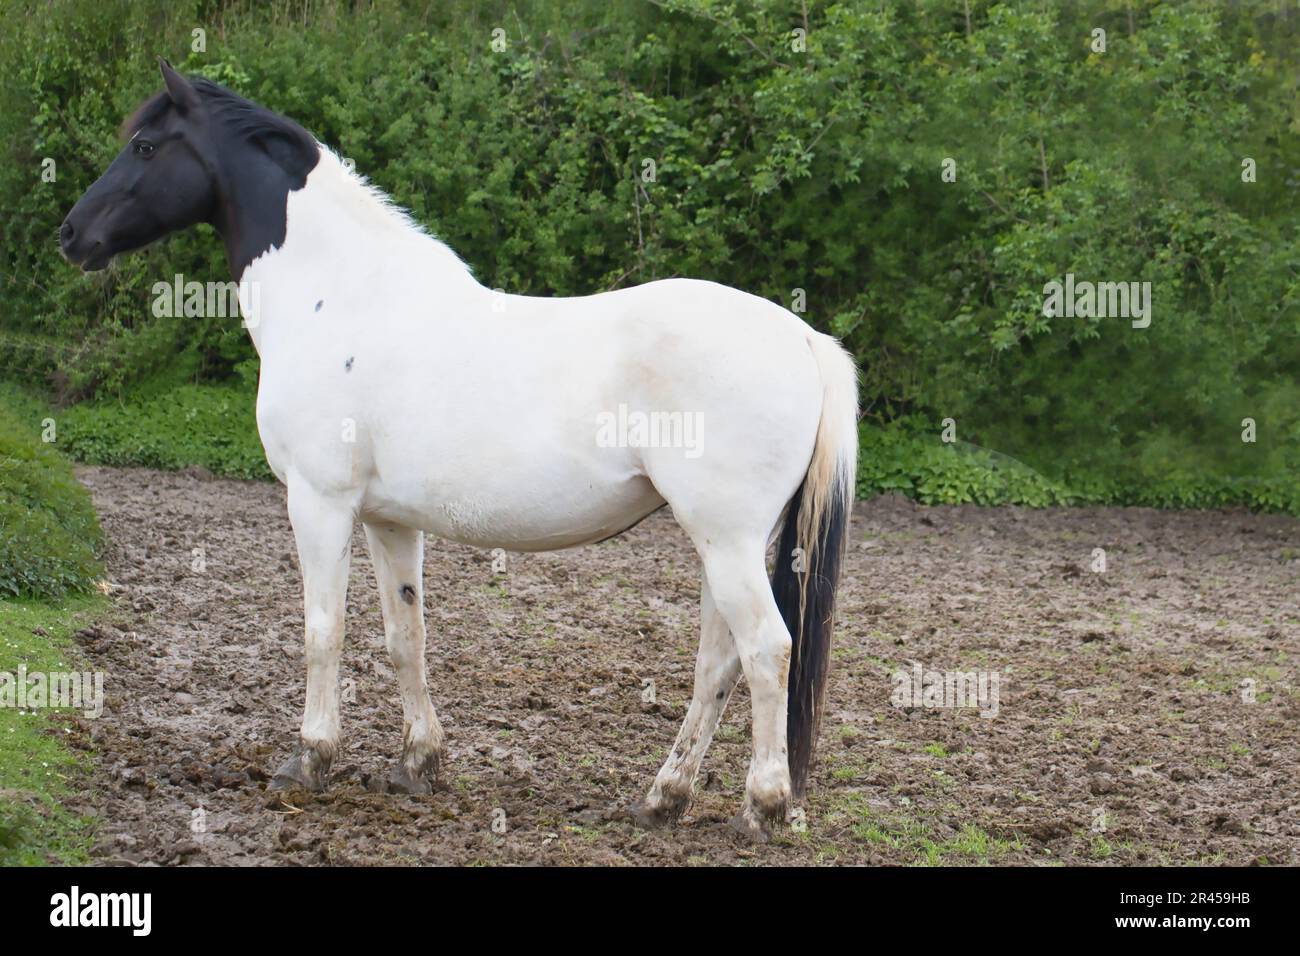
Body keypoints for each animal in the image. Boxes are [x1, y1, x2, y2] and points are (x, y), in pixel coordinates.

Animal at [61, 60, 859, 840]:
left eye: (144, 147)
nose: (72, 234)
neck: (337, 298)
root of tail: (802, 338)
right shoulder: (387, 519)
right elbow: (403, 635)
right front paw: (417, 764)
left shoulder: (319, 503)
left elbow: (324, 631)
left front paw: (310, 759)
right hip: (725, 543)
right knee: (718, 663)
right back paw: (663, 799)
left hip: (726, 539)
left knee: (765, 652)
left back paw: (761, 807)